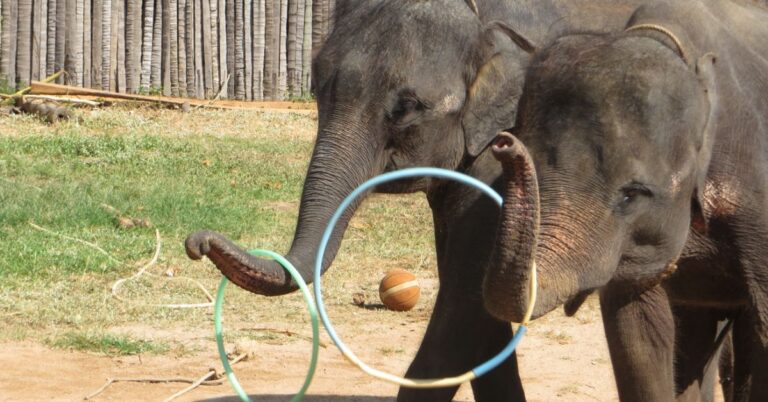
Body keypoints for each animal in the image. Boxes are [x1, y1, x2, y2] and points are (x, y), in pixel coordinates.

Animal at [185, 0, 645, 400]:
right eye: (316, 87)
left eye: (407, 108)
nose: (197, 242)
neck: (484, 17)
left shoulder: (507, 158)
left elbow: (464, 308)